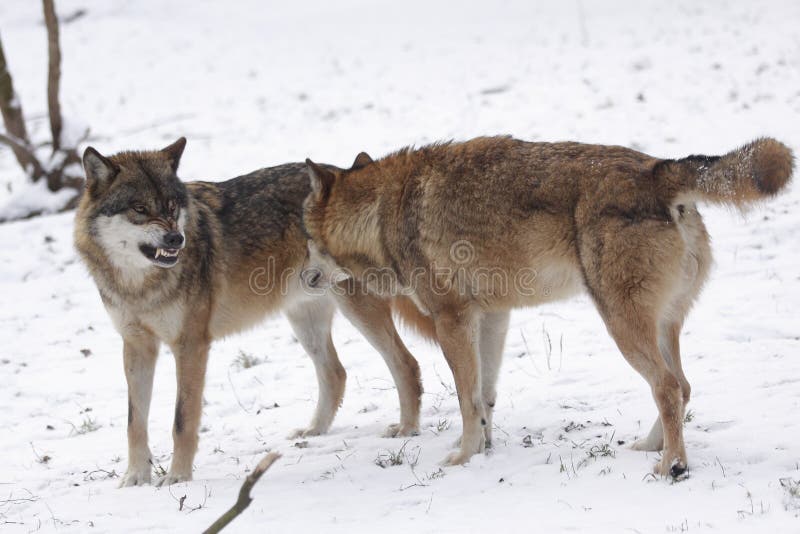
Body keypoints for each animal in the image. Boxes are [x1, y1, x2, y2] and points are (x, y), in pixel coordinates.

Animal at [74, 138, 428, 486]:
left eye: (172, 206)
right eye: (140, 209)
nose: (176, 238)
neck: (139, 284)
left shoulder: (190, 346)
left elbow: (181, 420)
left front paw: (178, 477)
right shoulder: (136, 346)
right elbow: (135, 422)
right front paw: (135, 478)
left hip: (356, 309)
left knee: (405, 362)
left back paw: (407, 428)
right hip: (304, 320)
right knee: (335, 373)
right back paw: (314, 430)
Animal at [302, 136, 793, 477]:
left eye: (306, 239)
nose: (303, 278)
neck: (384, 211)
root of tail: (658, 169)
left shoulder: (452, 320)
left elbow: (465, 400)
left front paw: (461, 458)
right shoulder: (491, 317)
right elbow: (484, 398)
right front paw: (484, 452)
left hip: (621, 326)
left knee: (669, 388)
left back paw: (672, 466)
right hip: (659, 327)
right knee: (683, 386)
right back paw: (650, 448)